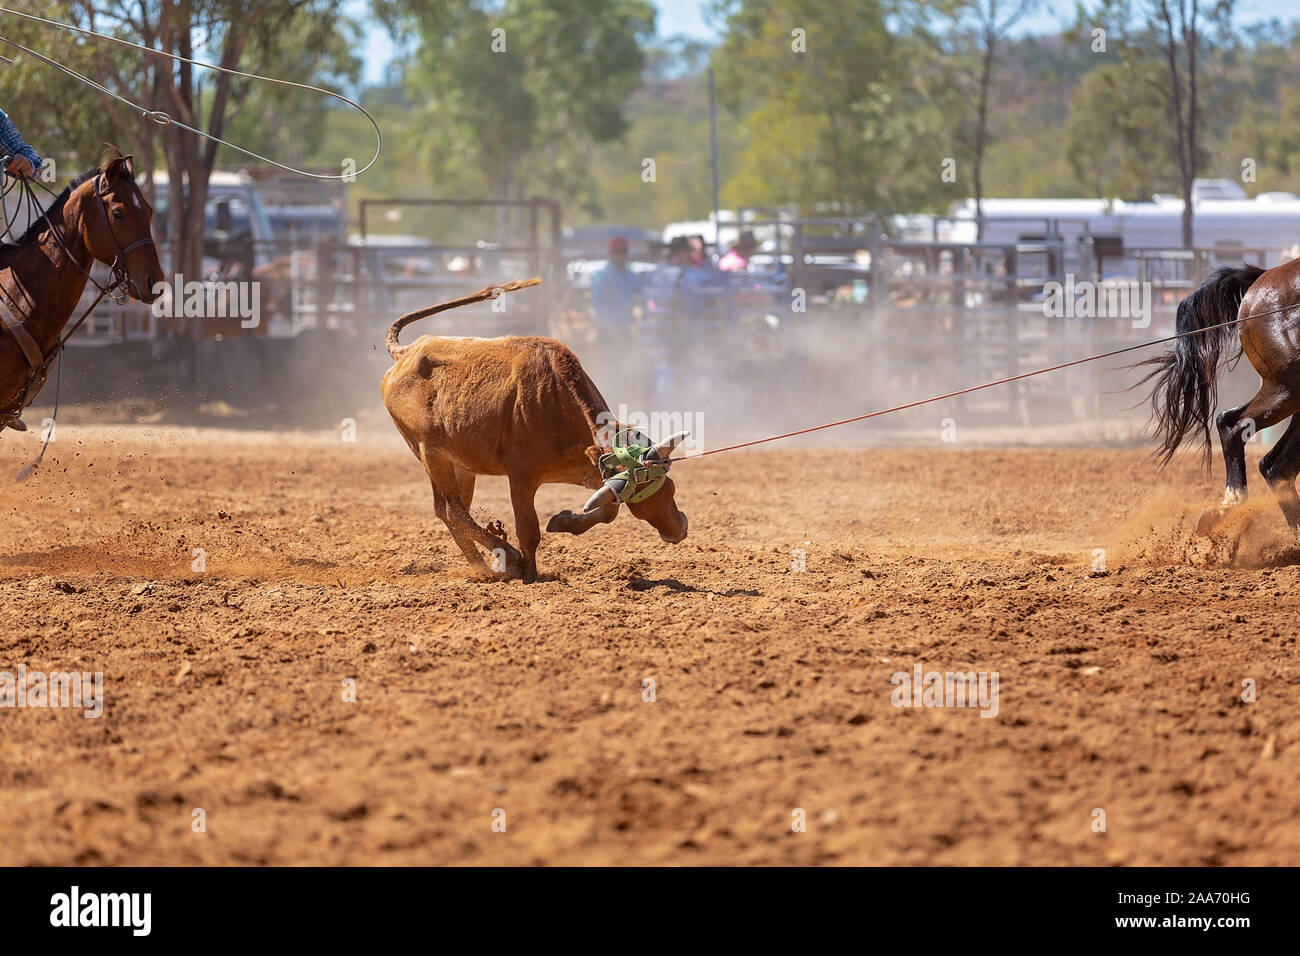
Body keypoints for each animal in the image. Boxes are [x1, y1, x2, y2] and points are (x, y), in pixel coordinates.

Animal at [380, 278, 690, 583]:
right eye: (644, 501)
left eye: (670, 488)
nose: (679, 530)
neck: (554, 404)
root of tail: (406, 354)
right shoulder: (521, 477)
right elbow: (528, 529)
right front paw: (530, 573)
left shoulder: (592, 470)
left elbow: (608, 509)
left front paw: (564, 521)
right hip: (431, 453)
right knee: (452, 510)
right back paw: (507, 560)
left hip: (461, 462)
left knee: (450, 510)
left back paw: (483, 567)